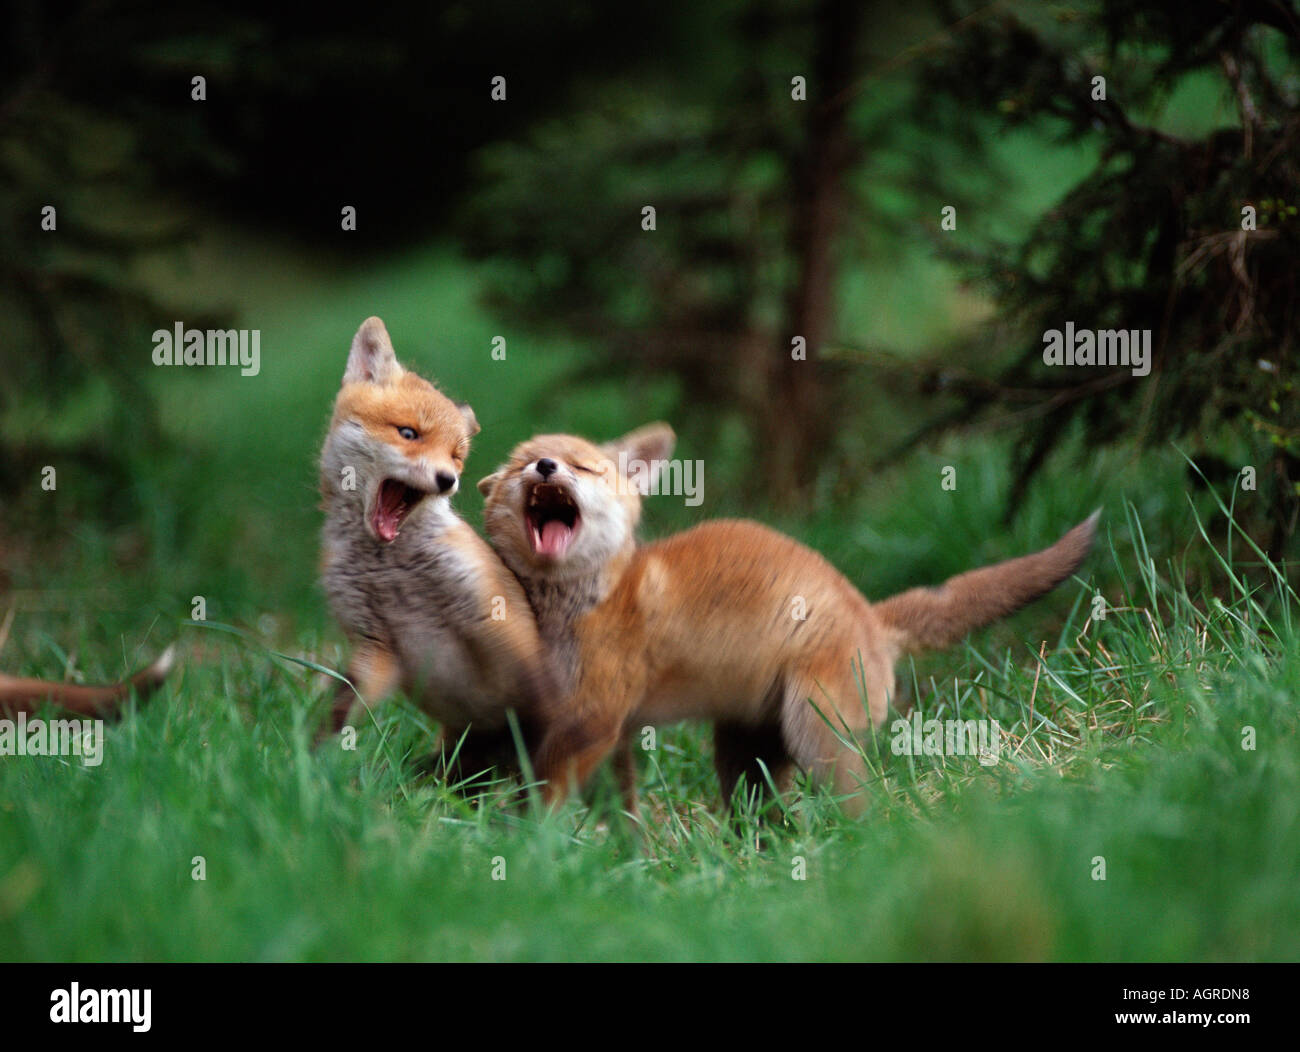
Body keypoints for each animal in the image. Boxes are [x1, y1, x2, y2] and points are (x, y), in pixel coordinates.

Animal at [317, 317, 559, 774]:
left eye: (456, 455)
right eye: (408, 433)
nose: (449, 480)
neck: (391, 570)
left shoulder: (490, 616)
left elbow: (539, 692)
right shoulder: (377, 644)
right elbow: (340, 711)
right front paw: (311, 759)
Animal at [478, 422, 1098, 814]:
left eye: (582, 466)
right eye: (520, 464)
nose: (545, 466)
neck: (578, 606)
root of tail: (867, 610)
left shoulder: (596, 716)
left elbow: (543, 790)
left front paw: (526, 842)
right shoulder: (608, 730)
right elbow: (619, 811)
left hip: (815, 733)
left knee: (865, 806)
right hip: (746, 752)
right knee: (769, 818)